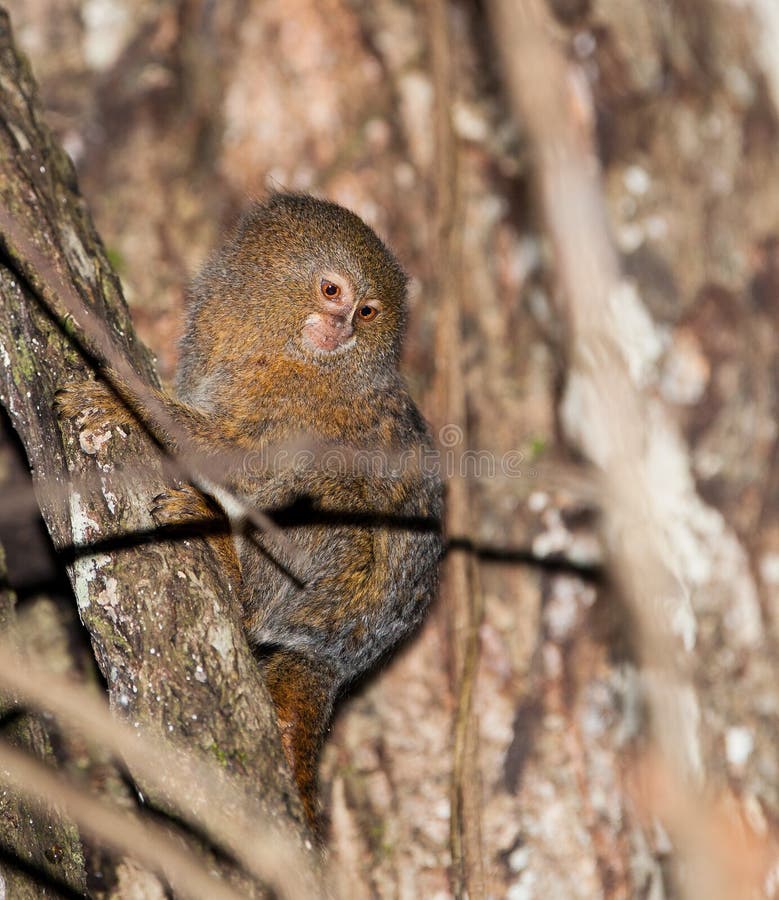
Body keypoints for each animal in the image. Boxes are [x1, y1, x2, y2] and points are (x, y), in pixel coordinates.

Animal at [57, 193, 443, 831]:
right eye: (332, 292)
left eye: (367, 312)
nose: (341, 327)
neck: (288, 356)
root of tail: (337, 659)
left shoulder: (296, 415)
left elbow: (238, 458)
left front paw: (120, 398)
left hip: (336, 591)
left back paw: (233, 572)